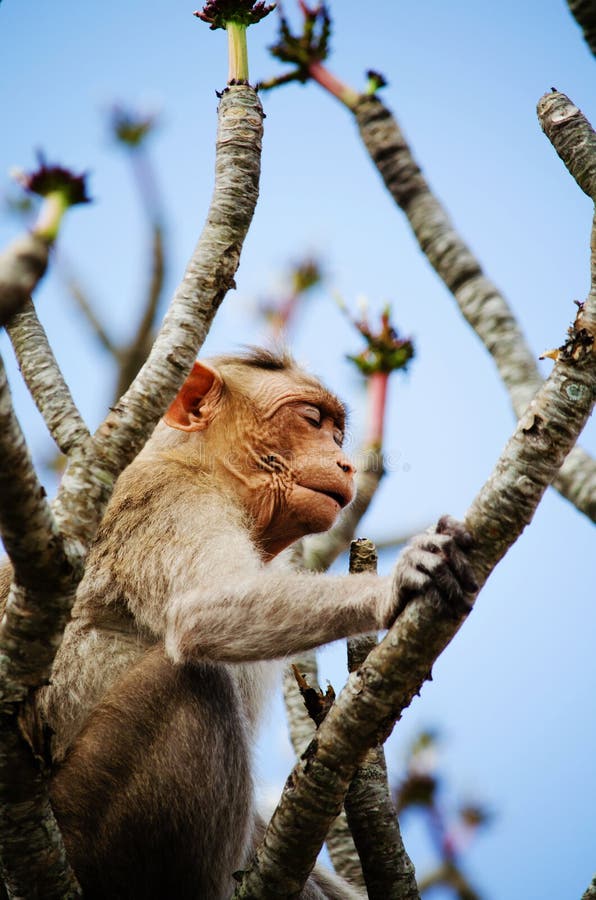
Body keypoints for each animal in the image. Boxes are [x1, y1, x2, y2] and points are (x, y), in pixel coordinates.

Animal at [1, 348, 477, 898]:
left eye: (337, 434)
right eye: (310, 420)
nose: (346, 463)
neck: (199, 463)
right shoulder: (170, 497)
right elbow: (201, 609)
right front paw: (397, 584)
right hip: (89, 829)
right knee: (193, 677)